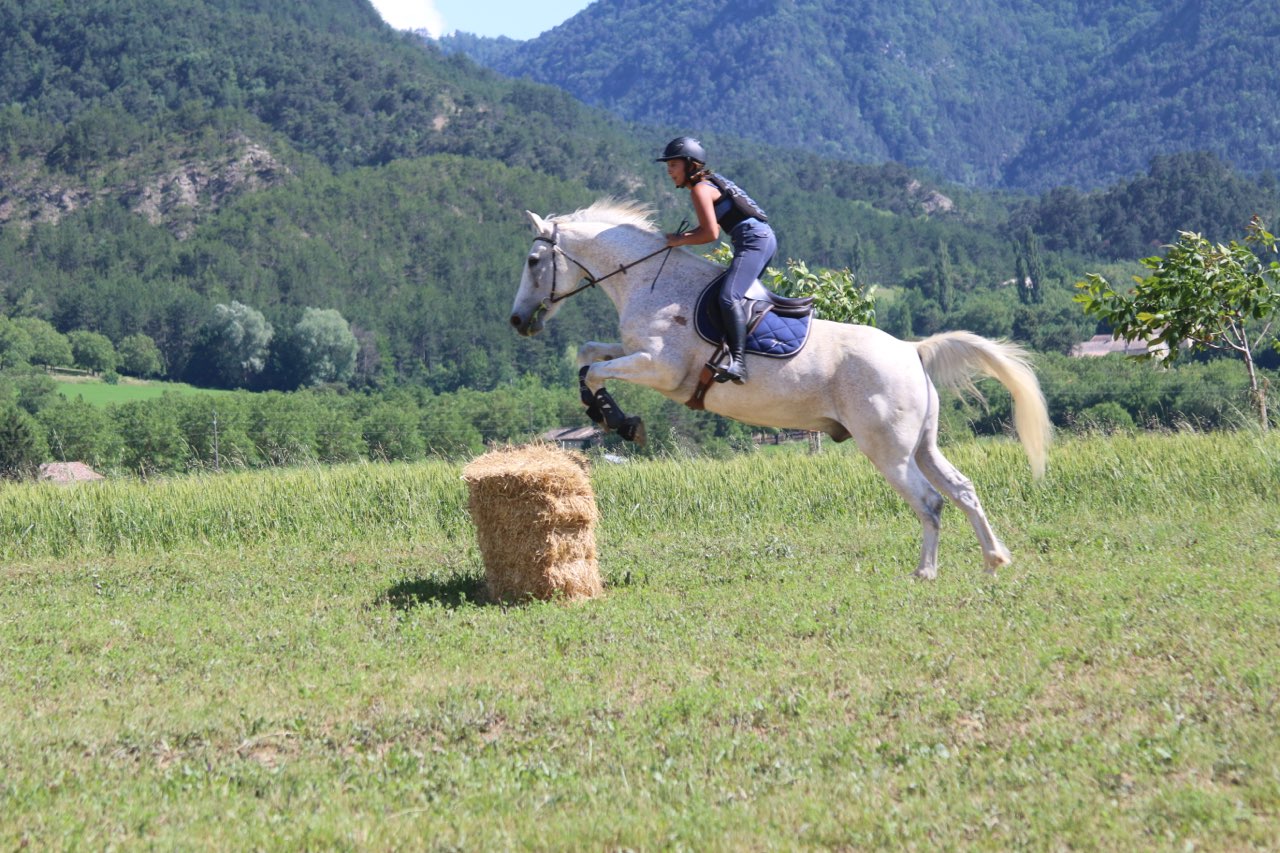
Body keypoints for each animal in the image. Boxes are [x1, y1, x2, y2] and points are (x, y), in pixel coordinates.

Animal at [509, 199, 1051, 579]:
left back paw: (926, 572)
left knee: (929, 501)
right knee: (961, 489)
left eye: (534, 260)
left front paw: (619, 422)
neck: (651, 282)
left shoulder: (660, 369)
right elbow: (587, 356)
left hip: (888, 449)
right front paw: (609, 416)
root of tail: (913, 351)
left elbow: (596, 372)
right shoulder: (633, 354)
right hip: (922, 445)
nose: (518, 321)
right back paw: (993, 559)